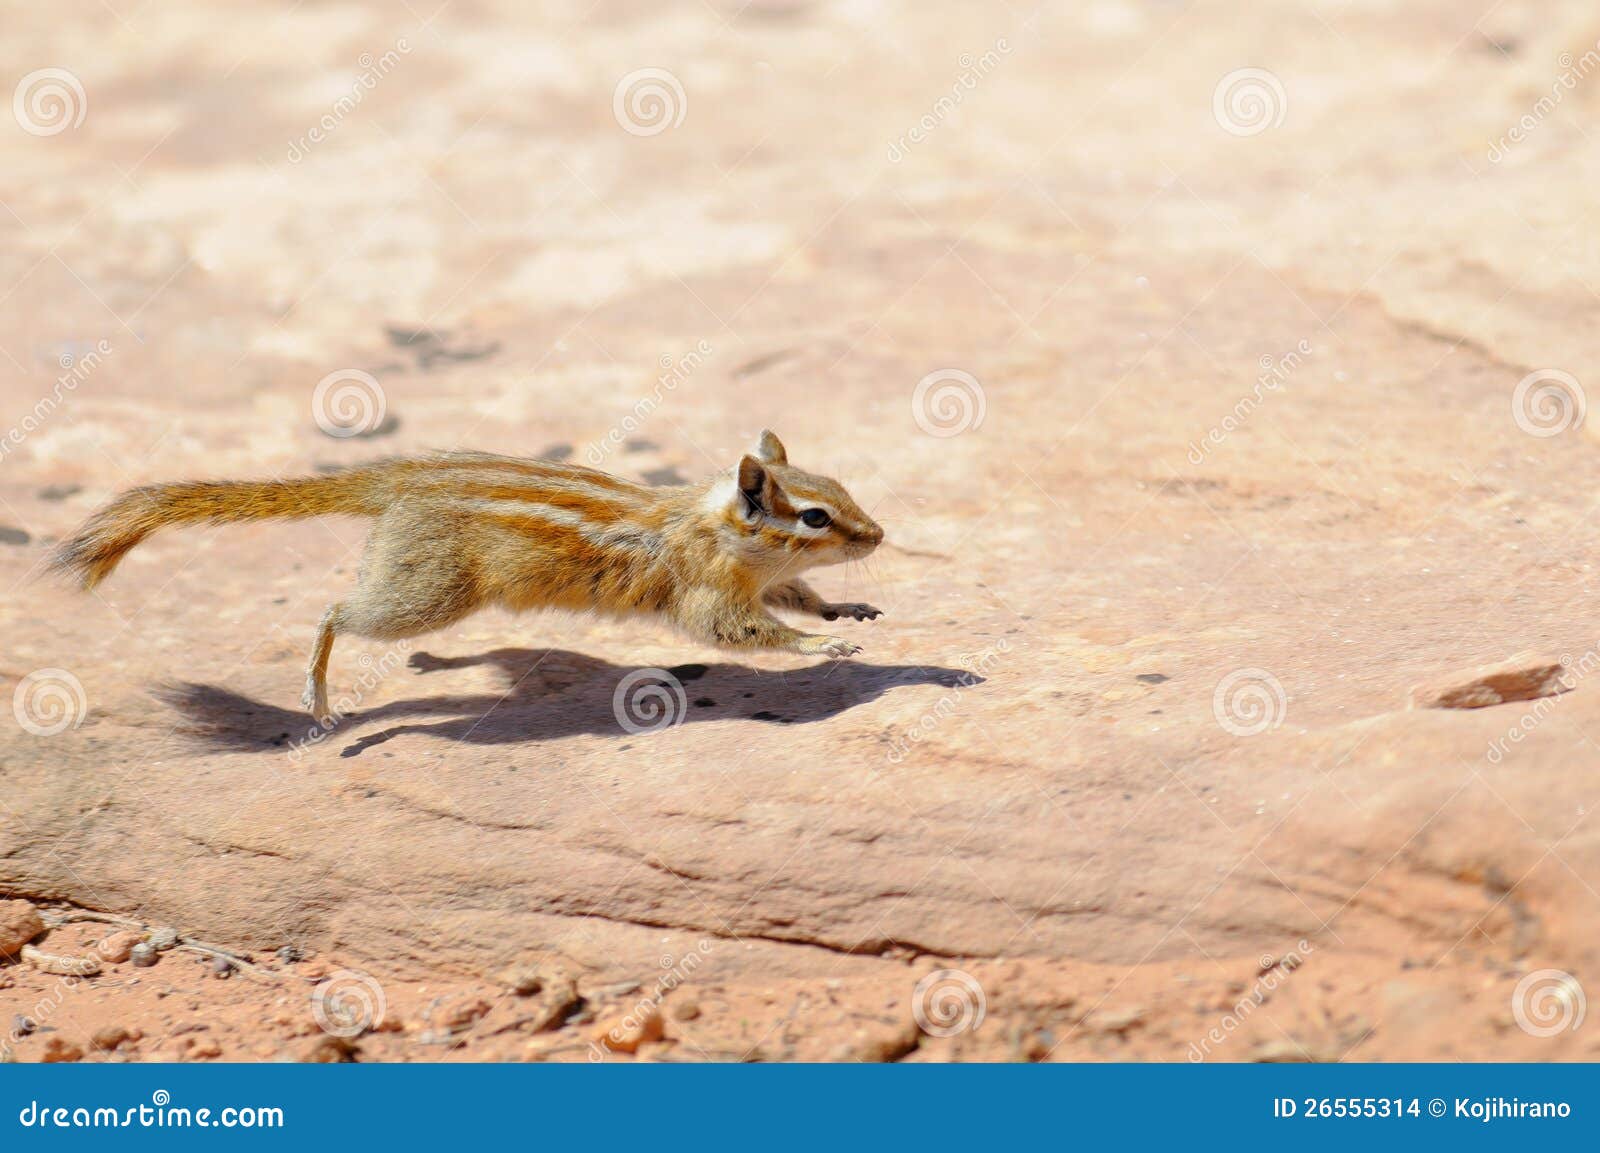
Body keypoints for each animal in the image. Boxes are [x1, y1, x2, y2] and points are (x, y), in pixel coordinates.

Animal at [50, 430, 885, 721]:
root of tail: (401, 474)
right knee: (333, 612)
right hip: (428, 594)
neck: (724, 531)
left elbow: (798, 595)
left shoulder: (762, 580)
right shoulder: (708, 593)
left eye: (842, 491)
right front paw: (818, 648)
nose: (878, 534)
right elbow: (744, 631)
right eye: (816, 517)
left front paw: (842, 611)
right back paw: (318, 700)